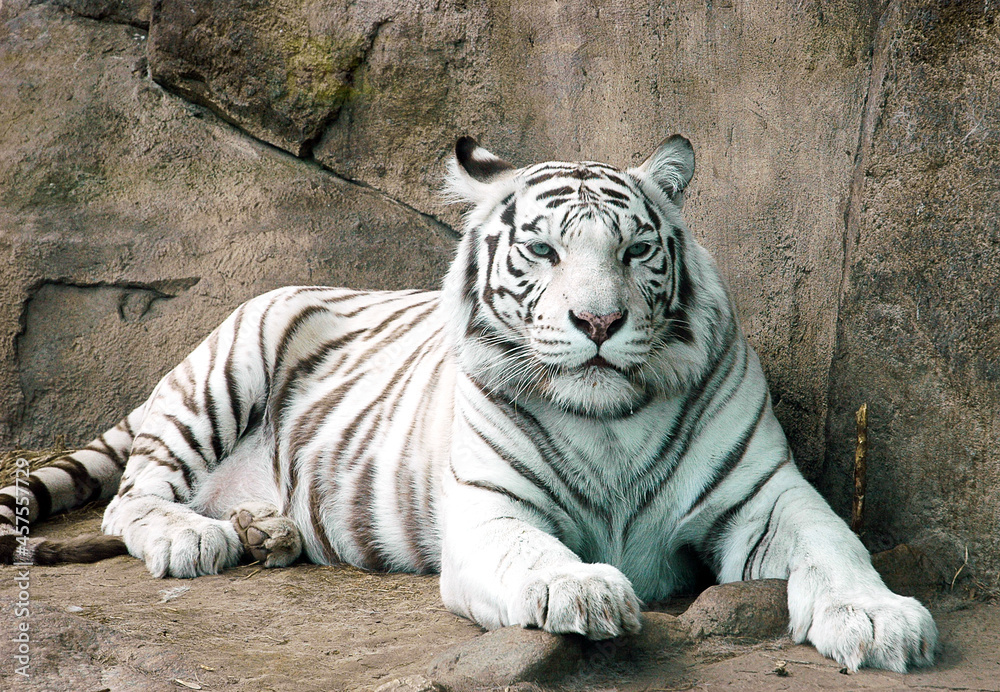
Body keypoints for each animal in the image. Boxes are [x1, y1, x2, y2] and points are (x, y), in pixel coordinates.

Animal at [0, 134, 937, 673]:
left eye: (636, 250)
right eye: (544, 250)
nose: (600, 321)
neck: (611, 421)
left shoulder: (768, 493)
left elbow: (837, 544)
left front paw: (880, 619)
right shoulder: (491, 511)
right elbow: (534, 555)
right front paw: (581, 589)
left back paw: (267, 532)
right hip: (233, 358)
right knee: (133, 498)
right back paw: (194, 537)